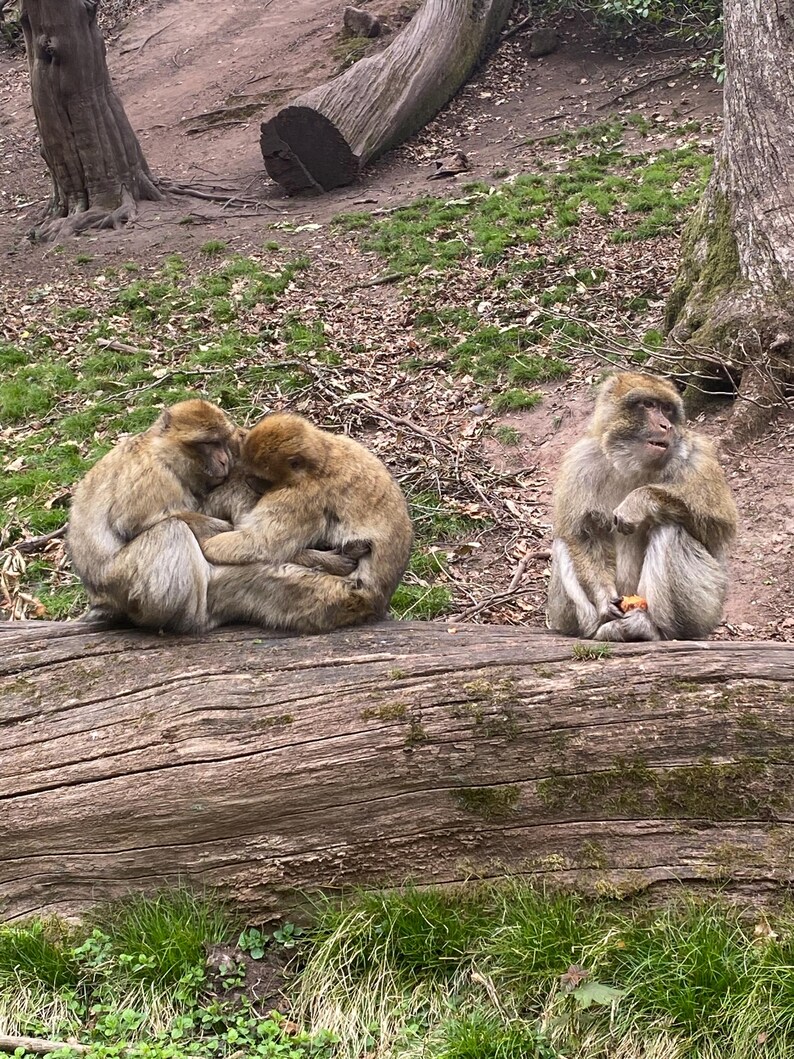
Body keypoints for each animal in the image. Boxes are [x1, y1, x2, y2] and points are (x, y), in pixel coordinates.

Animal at [67, 399, 238, 632]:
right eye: (208, 443)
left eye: (221, 441)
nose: (224, 460)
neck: (163, 451)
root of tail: (101, 599)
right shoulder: (153, 475)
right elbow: (131, 523)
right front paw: (224, 528)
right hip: (124, 581)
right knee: (172, 531)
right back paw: (195, 620)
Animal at [195, 412, 414, 633]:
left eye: (262, 477)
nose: (251, 482)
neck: (322, 458)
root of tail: (375, 605)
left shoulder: (300, 496)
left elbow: (258, 544)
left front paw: (205, 543)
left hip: (329, 600)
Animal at [546, 372, 738, 642]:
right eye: (648, 405)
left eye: (666, 409)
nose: (666, 426)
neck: (631, 463)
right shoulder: (580, 461)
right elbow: (582, 535)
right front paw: (604, 602)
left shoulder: (697, 456)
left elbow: (719, 525)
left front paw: (638, 502)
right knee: (563, 543)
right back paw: (601, 628)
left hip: (708, 607)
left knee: (670, 529)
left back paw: (654, 629)